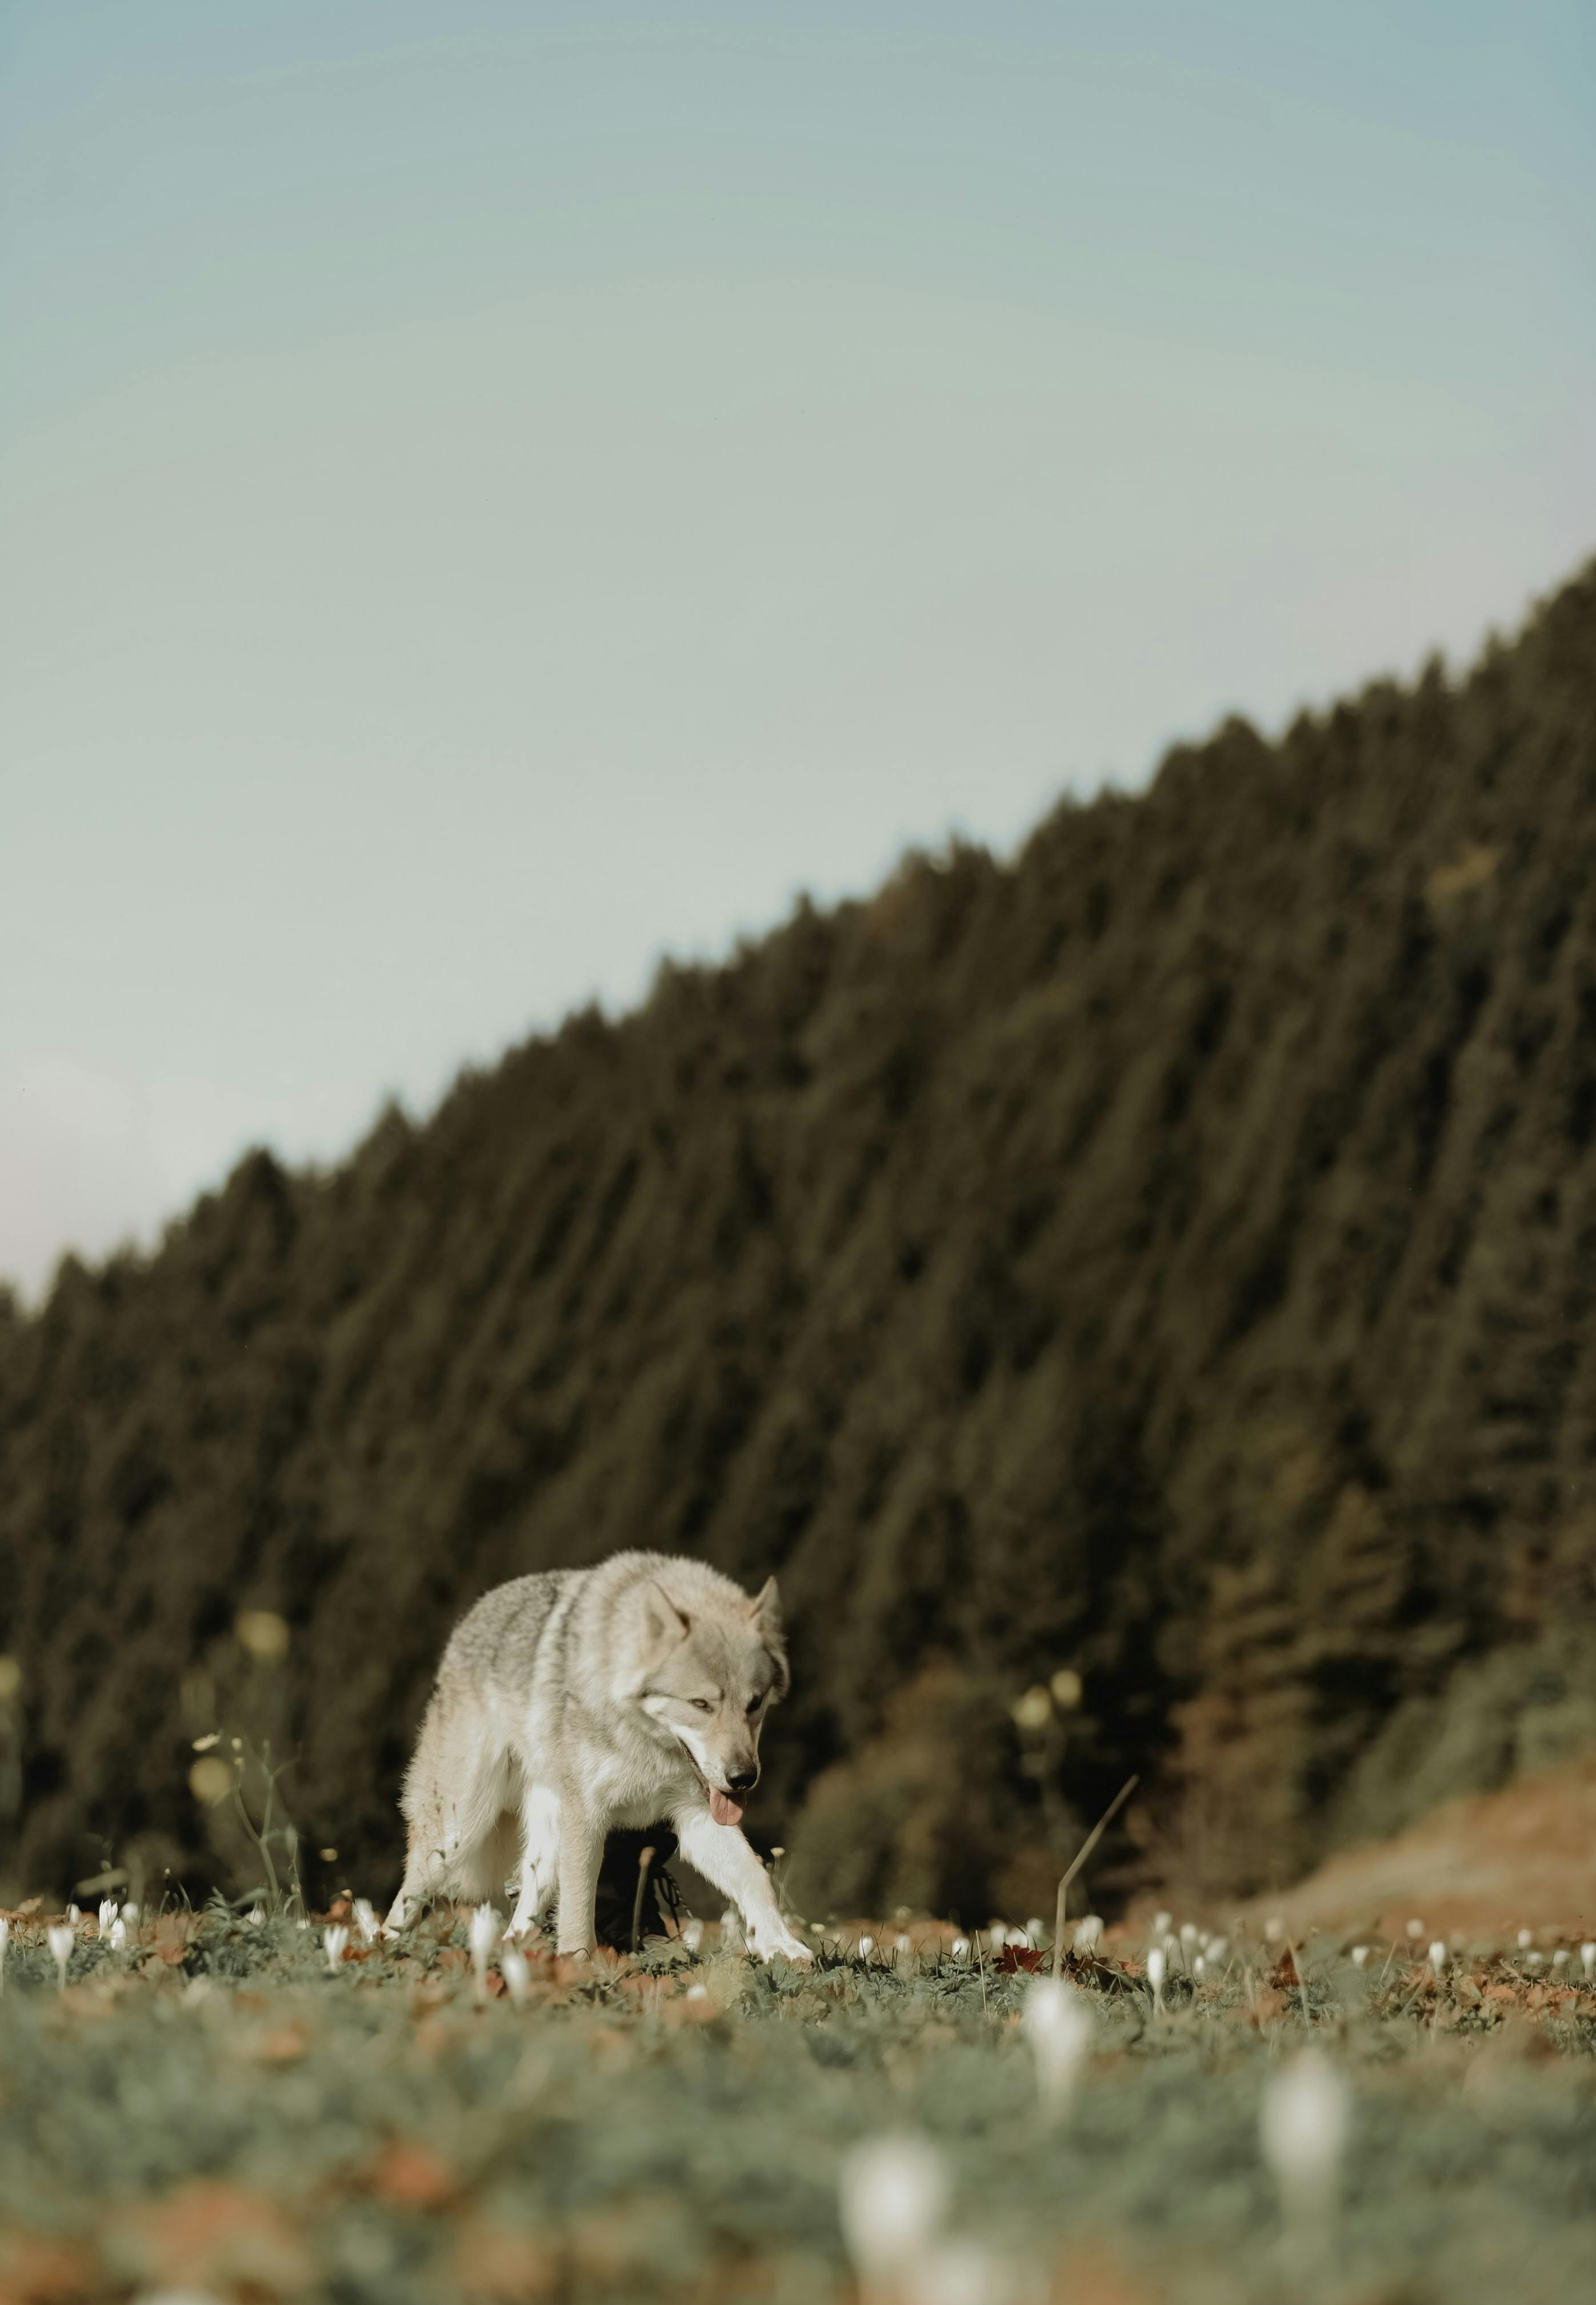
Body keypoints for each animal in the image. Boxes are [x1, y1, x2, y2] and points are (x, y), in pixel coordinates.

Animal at [384, 1549, 812, 1962]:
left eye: (754, 1704)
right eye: (701, 1704)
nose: (743, 1778)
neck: (646, 1742)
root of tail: (475, 1611)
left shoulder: (696, 1815)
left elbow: (754, 1876)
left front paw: (781, 1946)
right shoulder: (588, 1819)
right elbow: (579, 1907)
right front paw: (578, 1965)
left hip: (545, 1834)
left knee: (526, 1900)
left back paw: (518, 1953)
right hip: (461, 1828)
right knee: (407, 1895)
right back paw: (383, 1950)